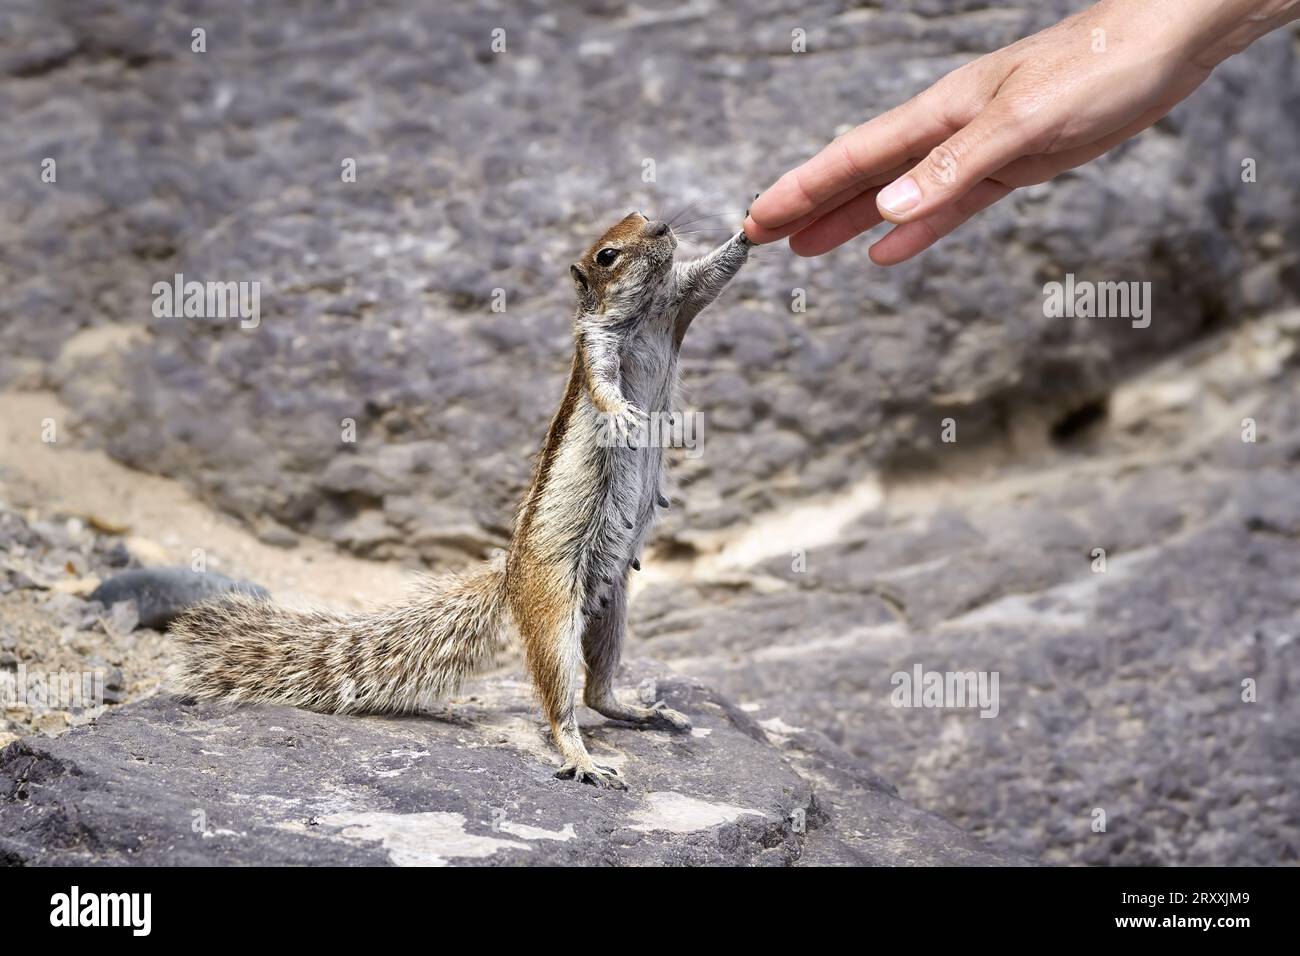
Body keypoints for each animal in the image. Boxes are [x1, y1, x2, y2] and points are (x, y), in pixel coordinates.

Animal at [171, 211, 752, 789]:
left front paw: (749, 227)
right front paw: (626, 416)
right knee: (561, 703)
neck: (644, 310)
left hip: (612, 612)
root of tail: (509, 575)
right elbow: (605, 387)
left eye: (642, 216)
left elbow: (714, 275)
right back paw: (583, 759)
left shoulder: (680, 303)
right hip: (553, 615)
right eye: (607, 255)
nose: (662, 230)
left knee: (598, 691)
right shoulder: (596, 349)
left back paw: (646, 712)